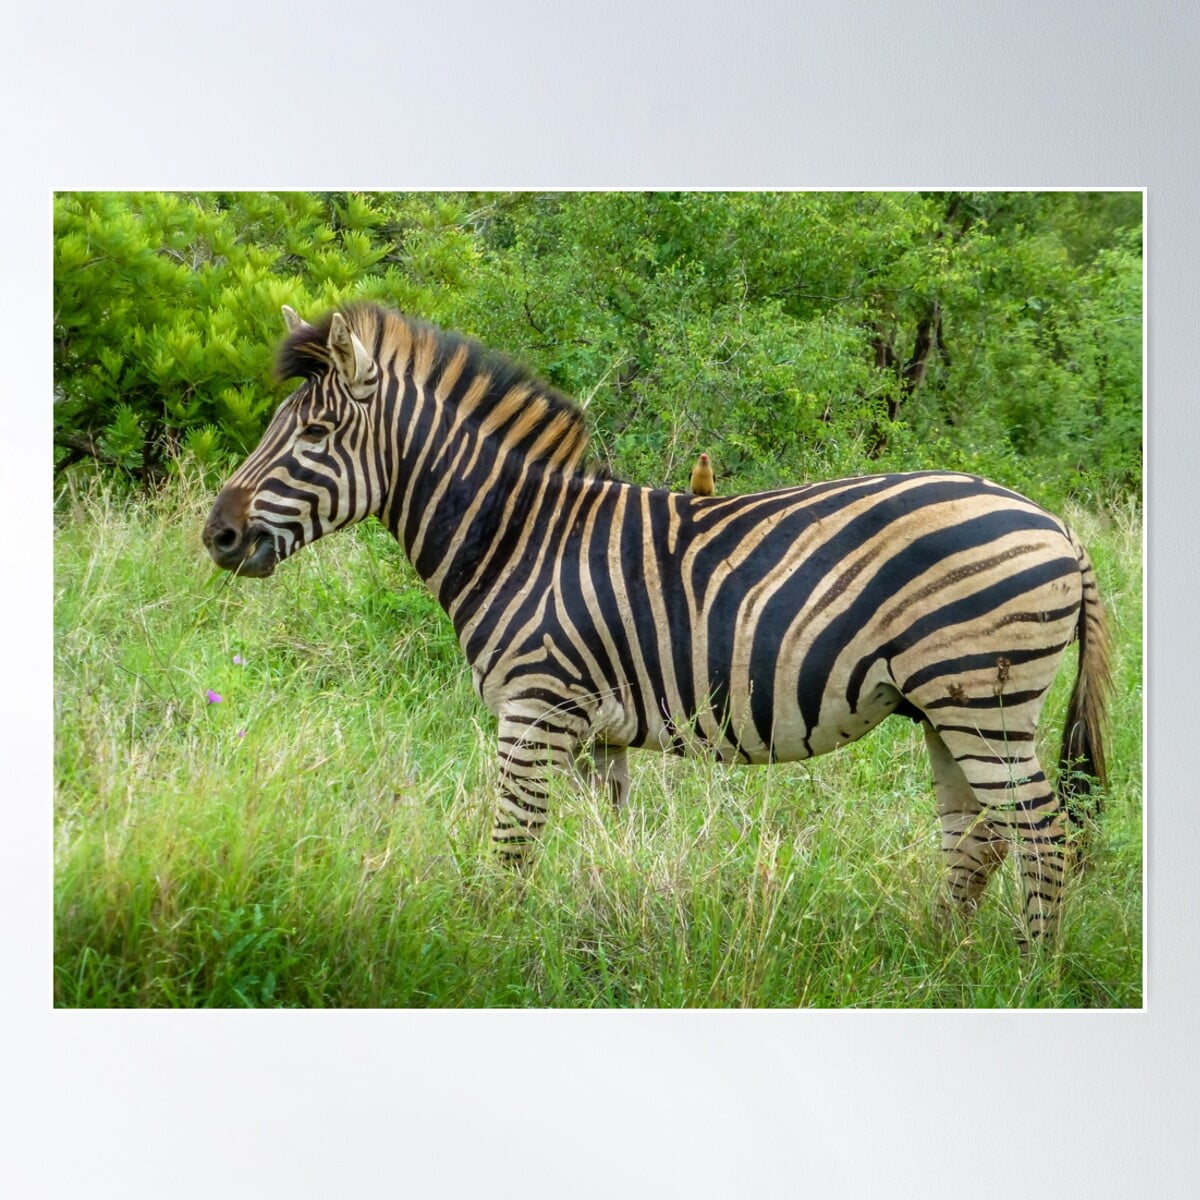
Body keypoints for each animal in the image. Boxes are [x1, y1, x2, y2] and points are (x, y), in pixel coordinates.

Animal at [203, 302, 1112, 941]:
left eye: (316, 432)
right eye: (274, 426)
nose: (217, 535)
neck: (518, 537)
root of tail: (1059, 526)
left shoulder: (535, 711)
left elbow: (510, 849)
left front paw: (484, 949)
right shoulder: (595, 733)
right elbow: (602, 844)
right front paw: (601, 924)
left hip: (982, 703)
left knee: (1043, 835)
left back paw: (1028, 972)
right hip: (945, 710)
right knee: (979, 841)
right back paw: (936, 961)